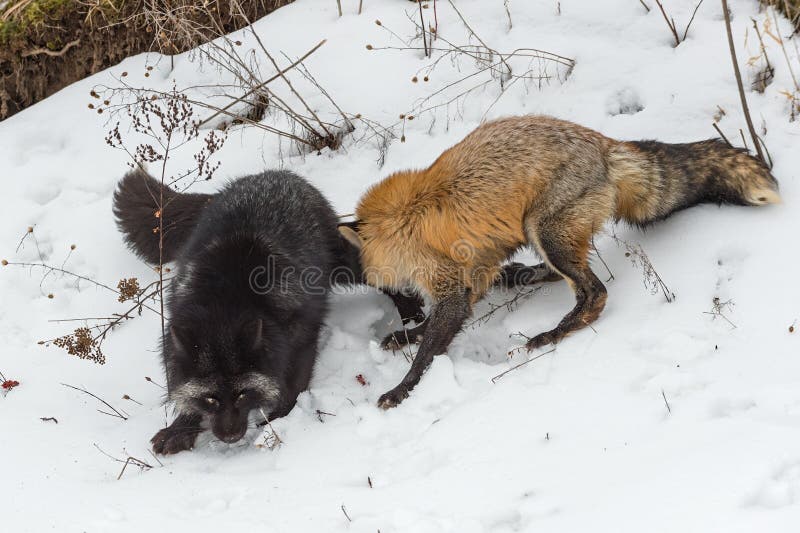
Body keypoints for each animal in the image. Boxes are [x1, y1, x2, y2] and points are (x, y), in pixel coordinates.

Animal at [113, 168, 423, 454]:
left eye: (243, 394)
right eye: (211, 399)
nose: (229, 437)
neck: (222, 305)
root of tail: (273, 173)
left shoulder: (301, 333)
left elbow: (293, 383)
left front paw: (279, 416)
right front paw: (181, 426)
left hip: (342, 265)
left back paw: (408, 306)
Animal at [338, 115, 780, 409]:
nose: (402, 304)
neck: (398, 226)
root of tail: (605, 143)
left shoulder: (446, 280)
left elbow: (431, 346)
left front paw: (402, 388)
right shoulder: (474, 268)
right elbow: (440, 322)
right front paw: (406, 336)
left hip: (543, 229)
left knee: (595, 293)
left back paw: (554, 333)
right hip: (539, 234)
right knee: (558, 277)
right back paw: (521, 279)